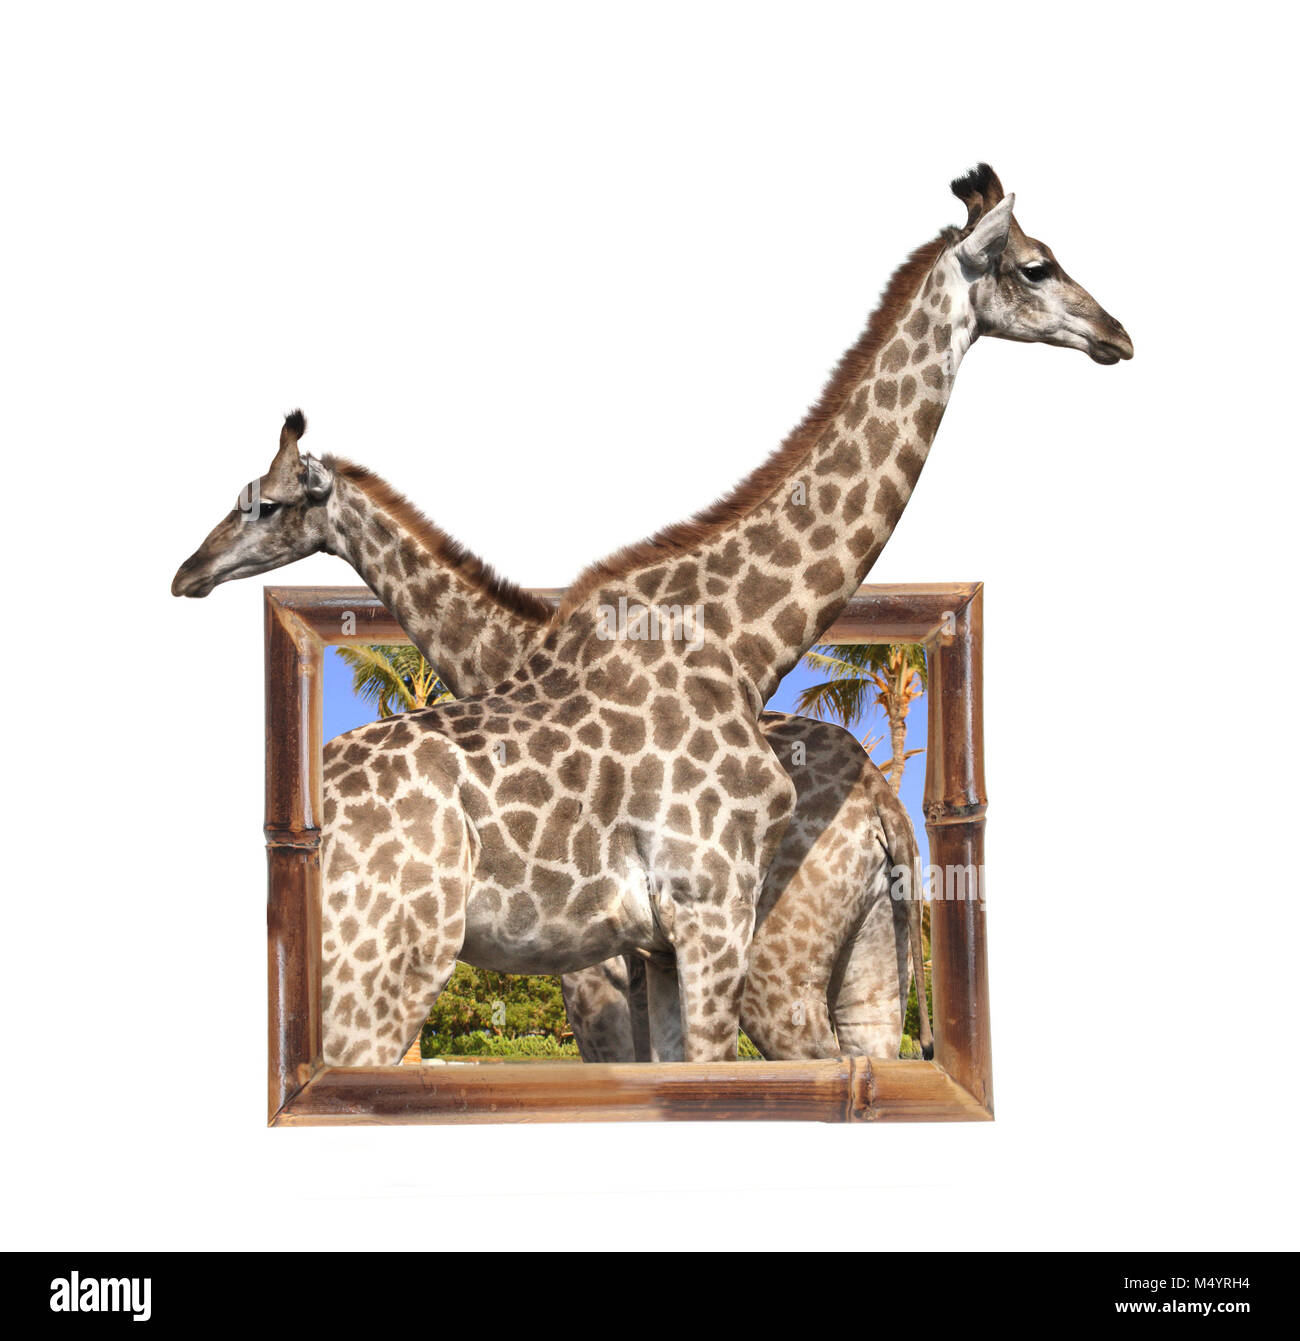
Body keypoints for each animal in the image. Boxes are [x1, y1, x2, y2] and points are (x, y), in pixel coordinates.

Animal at [173, 426, 929, 1060]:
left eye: (265, 504)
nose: (188, 572)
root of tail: (885, 806)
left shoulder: (604, 975)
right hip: (872, 963)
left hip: (778, 968)